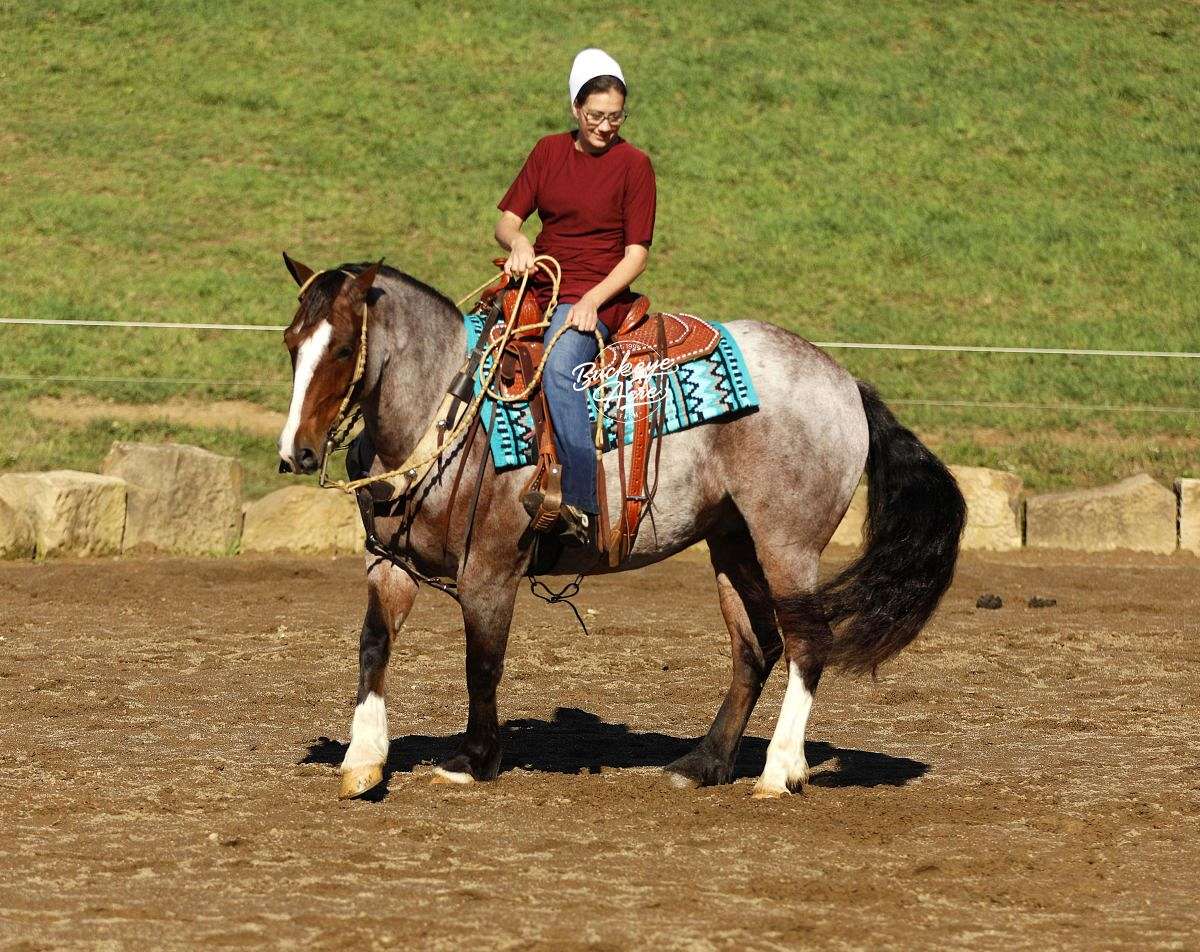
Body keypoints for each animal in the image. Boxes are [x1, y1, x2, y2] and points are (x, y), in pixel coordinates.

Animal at [276, 255, 966, 800]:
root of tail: (847, 384)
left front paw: (473, 760)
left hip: (787, 544)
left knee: (805, 644)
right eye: (290, 342)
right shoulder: (389, 564)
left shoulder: (490, 571)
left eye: (344, 348)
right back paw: (703, 763)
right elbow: (374, 646)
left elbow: (483, 661)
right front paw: (363, 760)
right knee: (755, 648)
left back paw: (779, 770)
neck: (446, 410)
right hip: (733, 542)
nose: (295, 453)